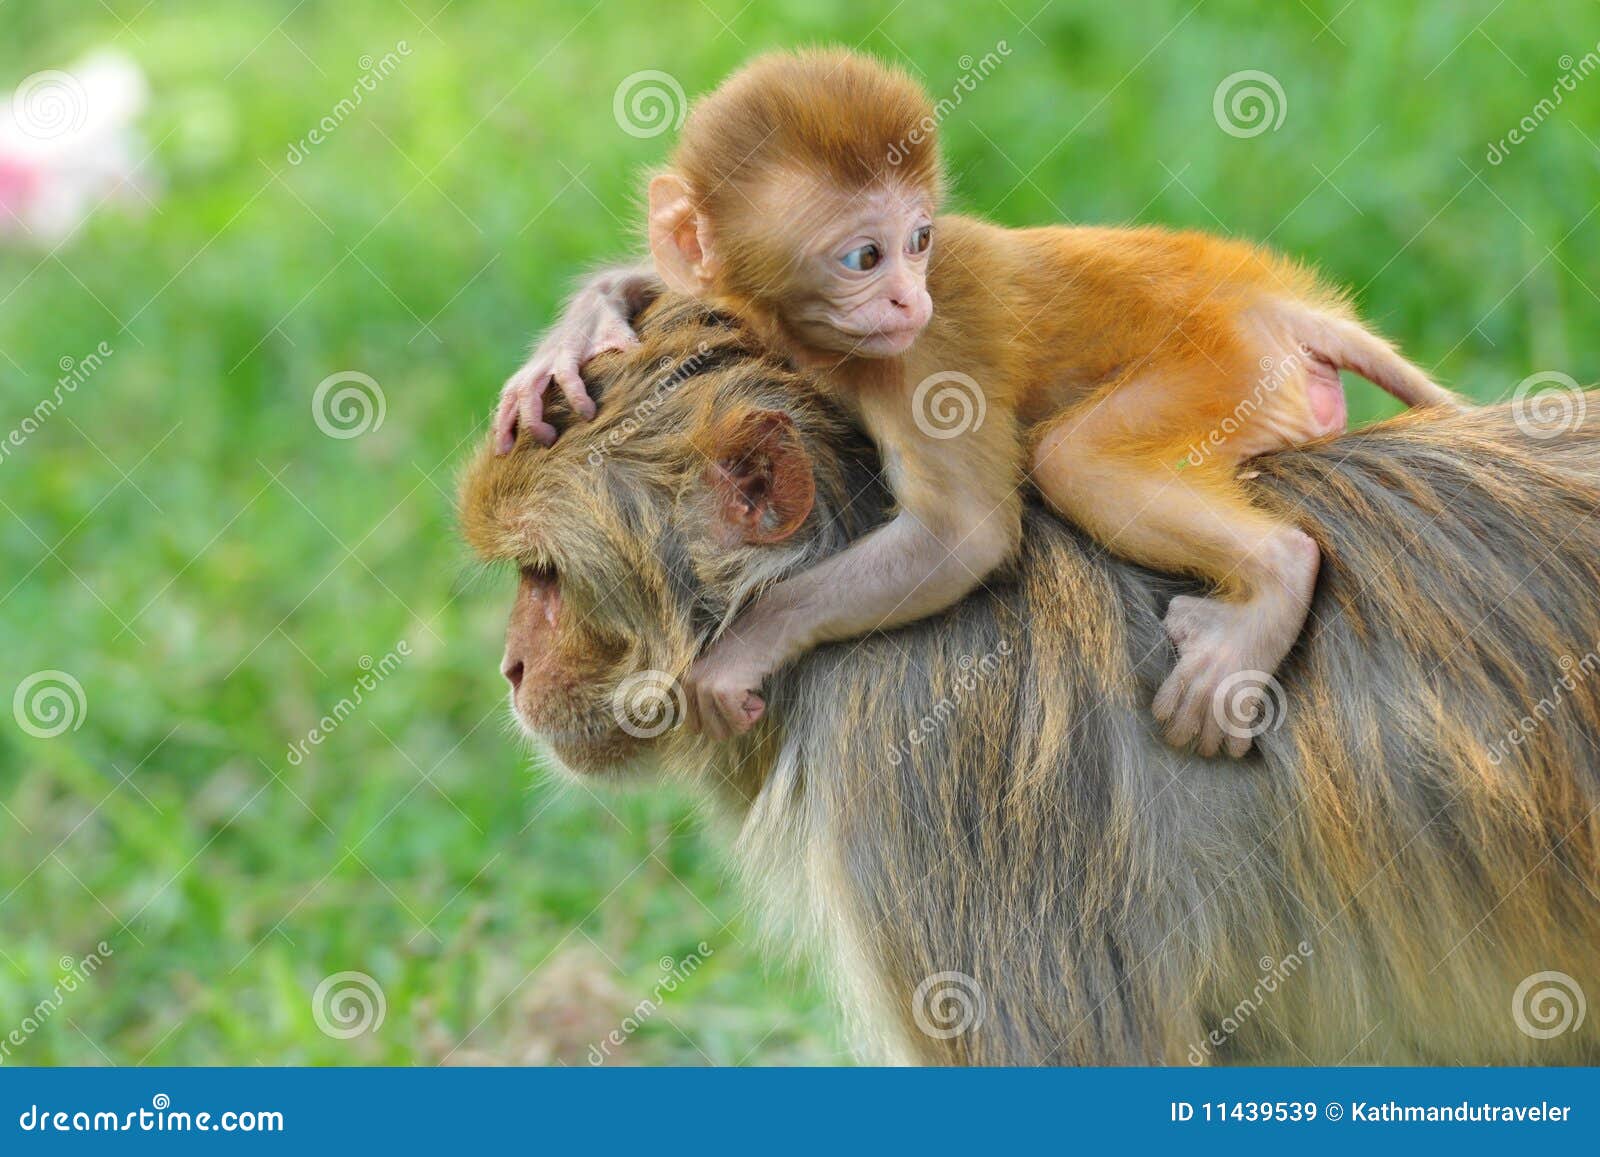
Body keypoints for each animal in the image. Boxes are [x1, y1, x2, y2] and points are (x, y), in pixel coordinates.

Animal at [495, 49, 1462, 757]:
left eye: (917, 241)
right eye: (863, 256)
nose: (905, 298)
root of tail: (1266, 296)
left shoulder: (924, 362)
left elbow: (961, 536)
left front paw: (744, 648)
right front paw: (582, 329)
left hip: (1226, 369)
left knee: (1076, 459)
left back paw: (1275, 577)